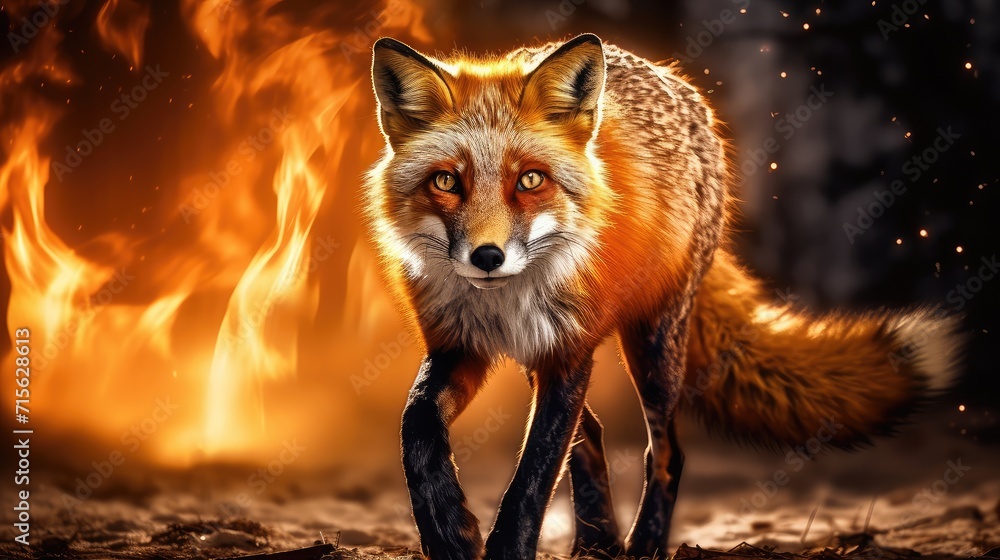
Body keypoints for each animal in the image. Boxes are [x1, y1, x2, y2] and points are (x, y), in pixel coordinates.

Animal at [363, 33, 961, 560]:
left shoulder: (568, 352)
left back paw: (644, 544)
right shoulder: (460, 347)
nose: (487, 257)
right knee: (593, 435)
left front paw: (506, 548)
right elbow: (416, 426)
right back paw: (597, 542)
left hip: (653, 346)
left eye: (530, 180)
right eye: (446, 182)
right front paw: (447, 530)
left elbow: (533, 476)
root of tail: (678, 83)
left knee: (667, 452)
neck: (501, 306)